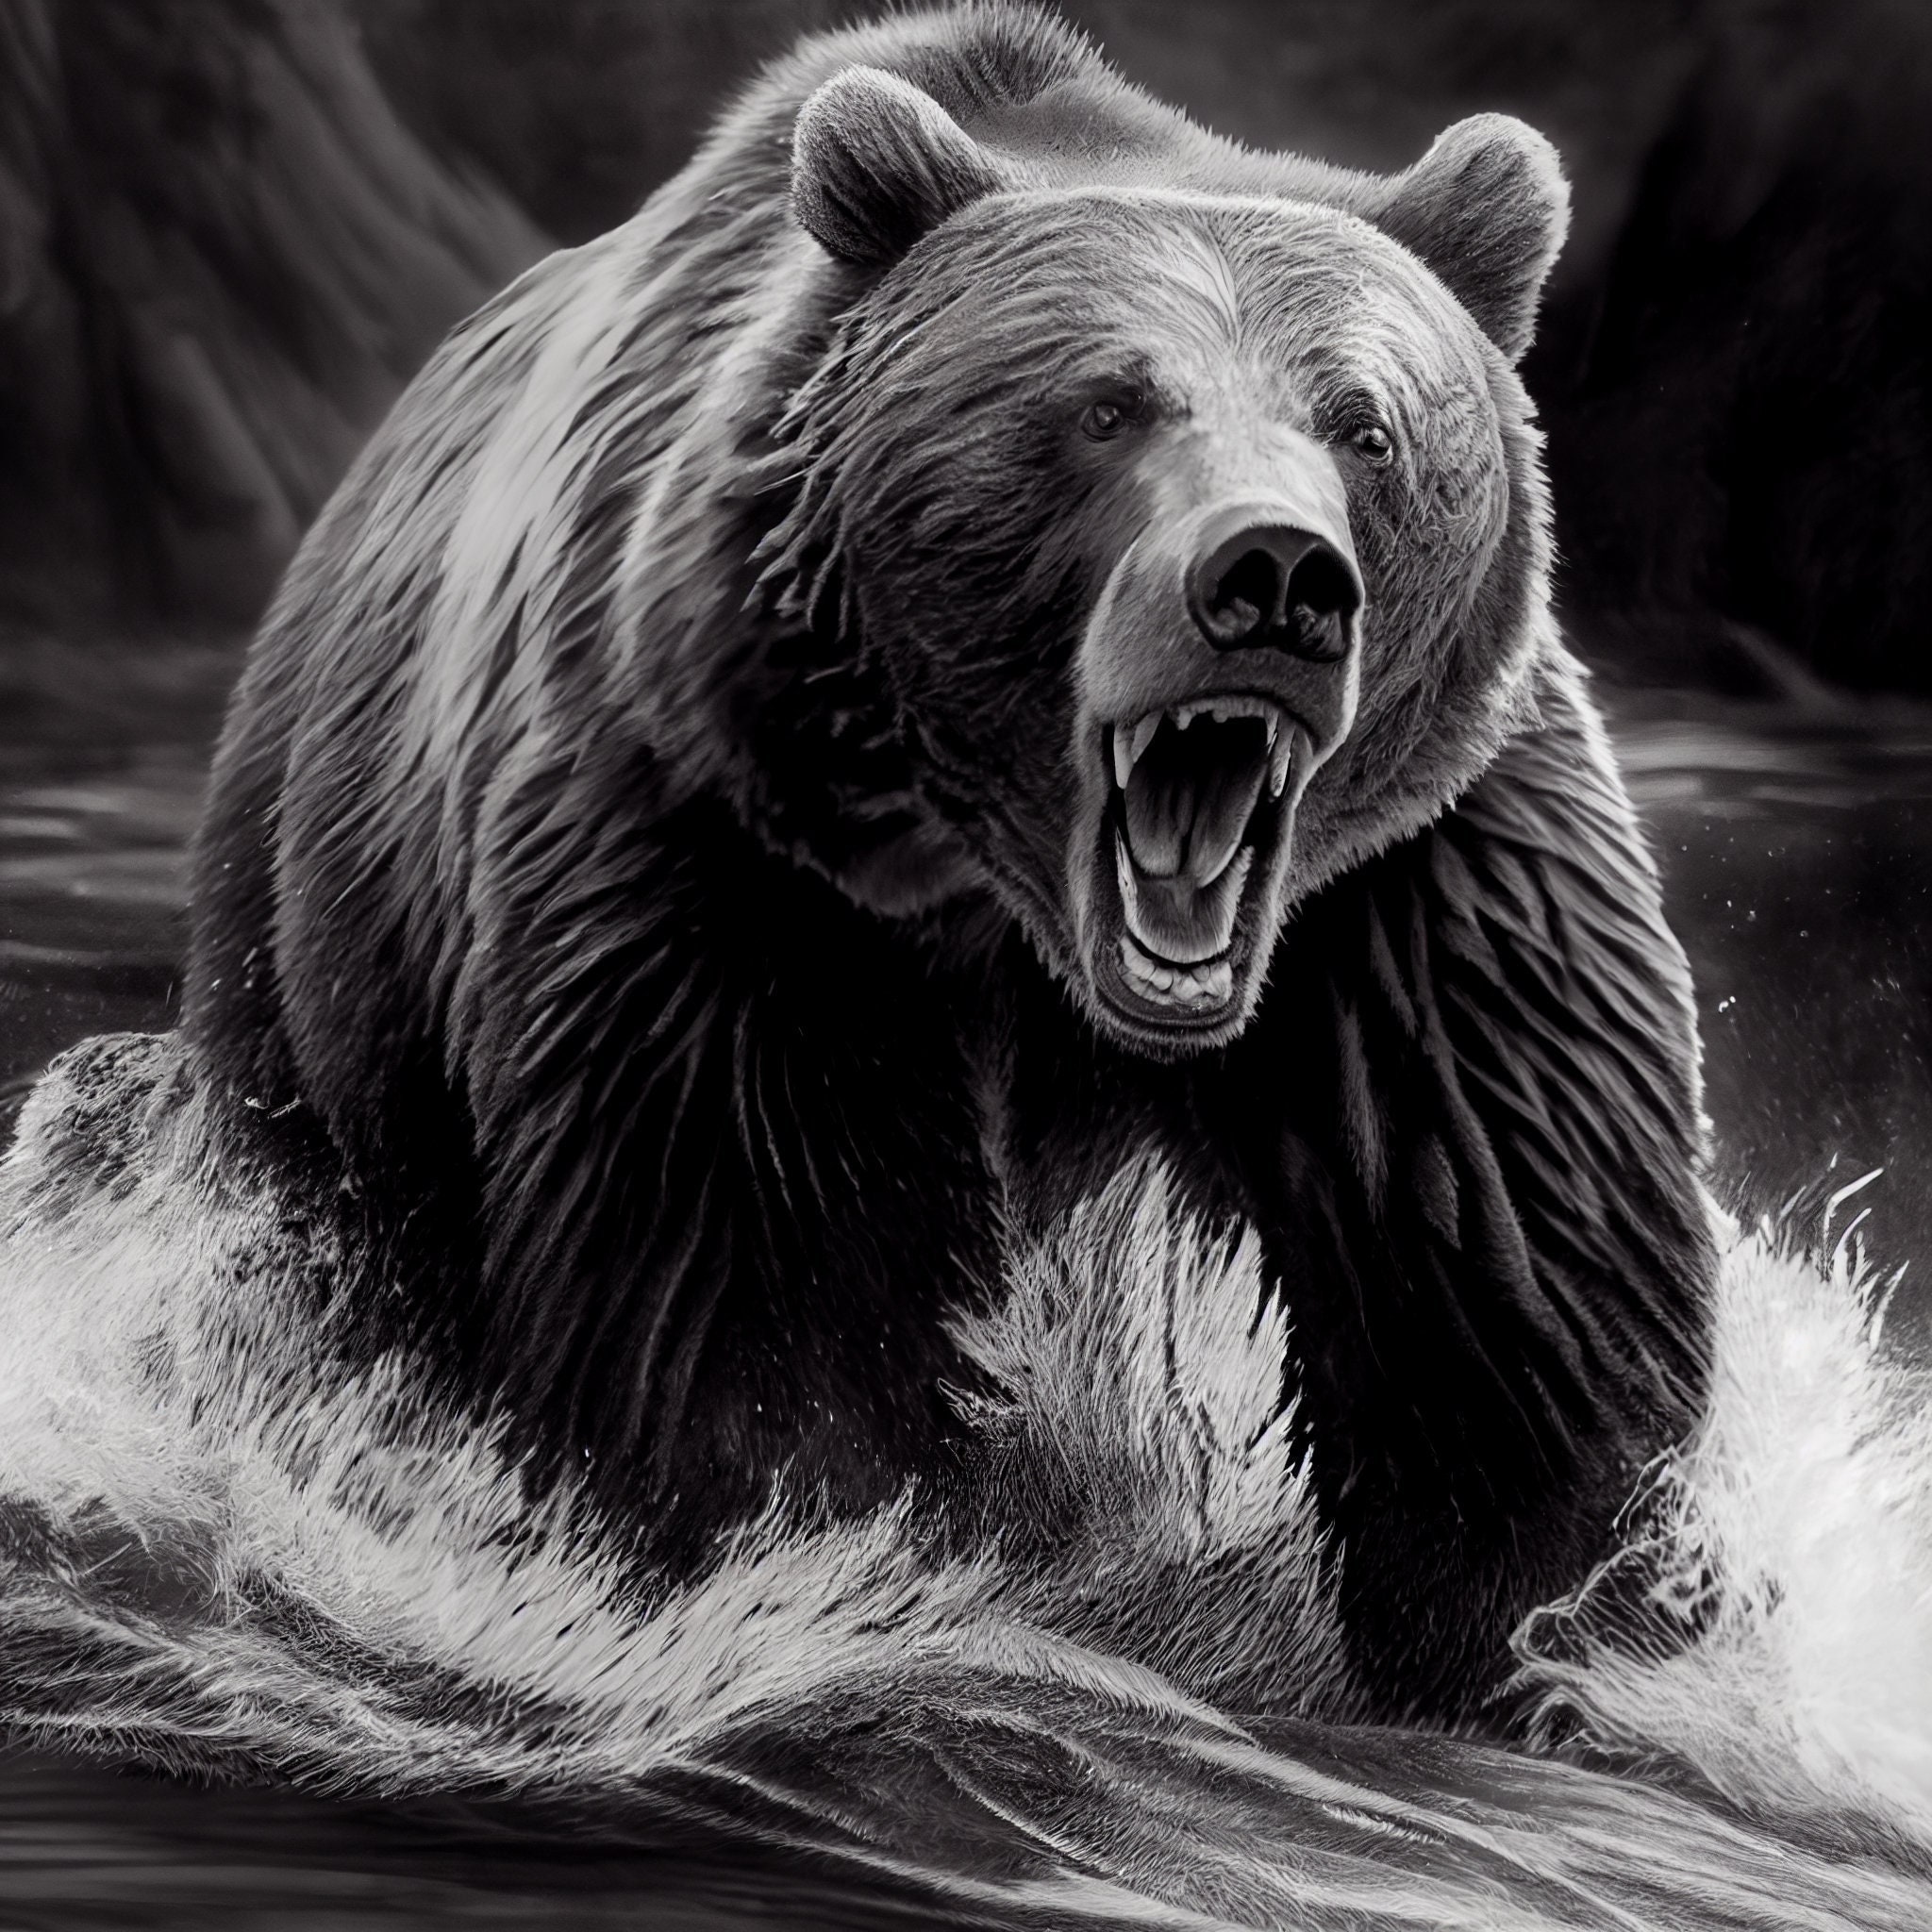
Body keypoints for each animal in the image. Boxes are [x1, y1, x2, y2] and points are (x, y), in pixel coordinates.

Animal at [181, 2, 1715, 1721]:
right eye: (1108, 406)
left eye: (1363, 423)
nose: (1274, 578)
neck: (1016, 914)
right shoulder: (730, 867)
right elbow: (756, 1300)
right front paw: (824, 1575)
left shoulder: (1420, 899)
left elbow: (1504, 1290)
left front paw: (1565, 1642)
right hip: (320, 967)